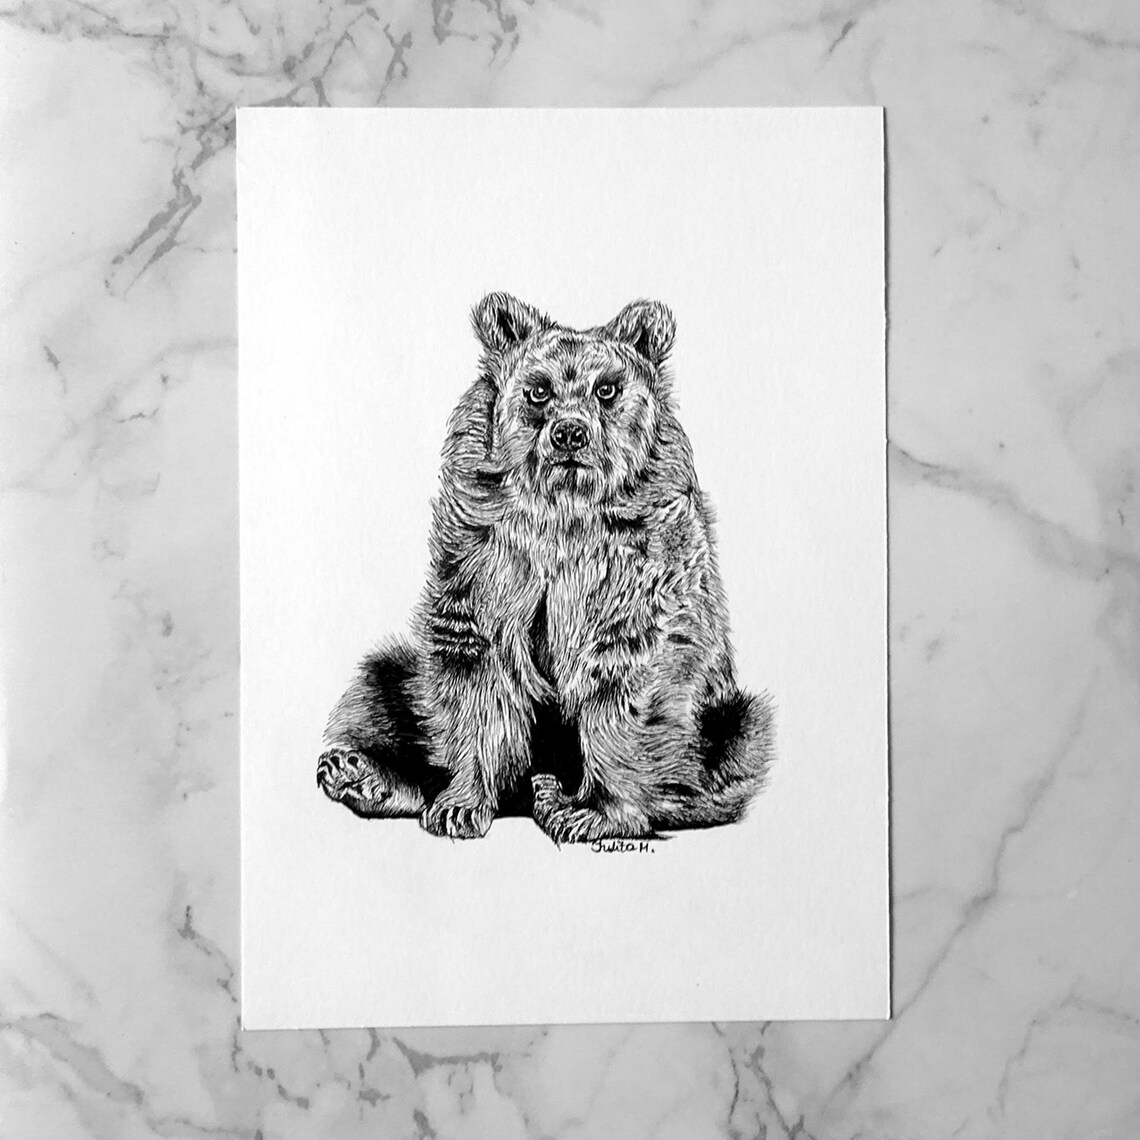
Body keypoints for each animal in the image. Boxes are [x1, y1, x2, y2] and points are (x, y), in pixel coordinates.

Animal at [316, 293, 774, 842]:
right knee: (382, 679)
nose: (570, 433)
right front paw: (459, 806)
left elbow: (623, 680)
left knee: (734, 738)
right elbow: (475, 678)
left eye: (606, 389)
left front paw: (592, 813)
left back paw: (559, 795)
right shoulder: (485, 561)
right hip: (406, 676)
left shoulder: (634, 571)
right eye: (539, 390)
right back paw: (358, 774)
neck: (561, 511)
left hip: (723, 712)